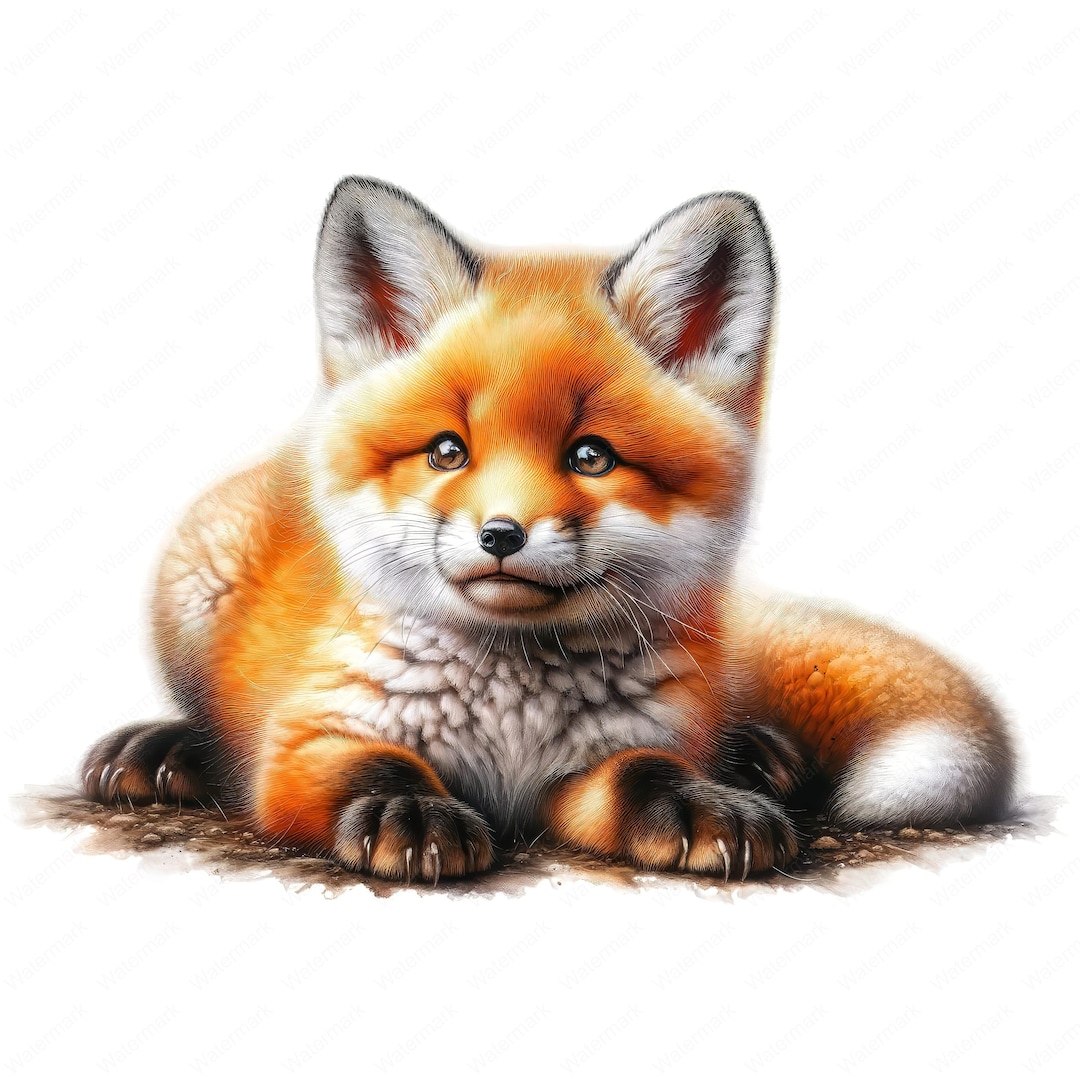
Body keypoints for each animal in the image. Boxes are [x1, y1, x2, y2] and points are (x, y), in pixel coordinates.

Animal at [81, 177, 1016, 883]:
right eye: (447, 450)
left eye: (591, 456)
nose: (502, 533)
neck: (511, 716)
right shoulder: (309, 739)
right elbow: (372, 766)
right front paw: (409, 811)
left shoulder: (590, 766)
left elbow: (650, 775)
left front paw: (705, 801)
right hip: (192, 584)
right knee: (203, 713)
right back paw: (164, 749)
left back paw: (752, 753)